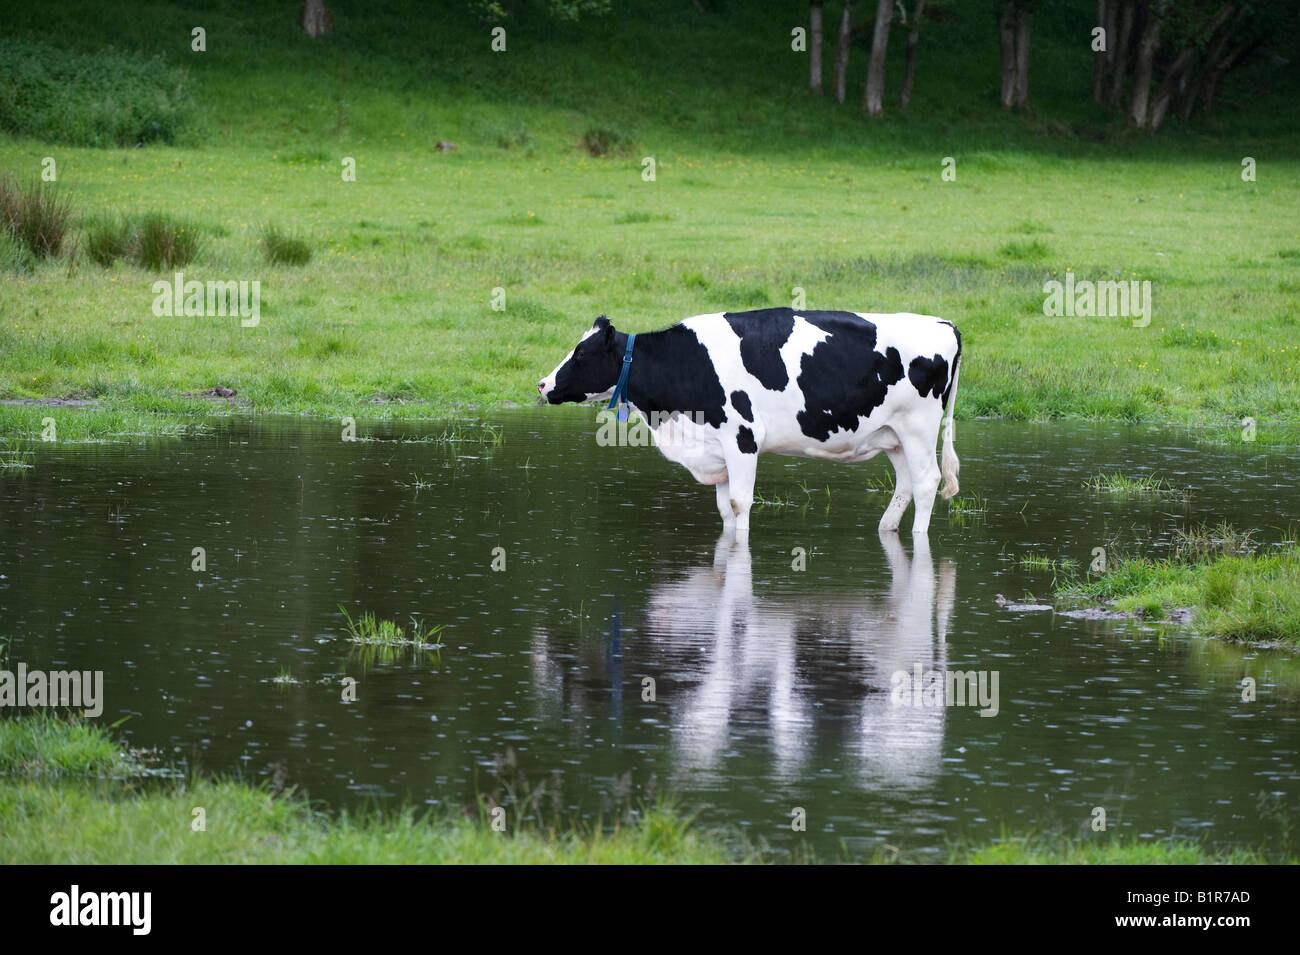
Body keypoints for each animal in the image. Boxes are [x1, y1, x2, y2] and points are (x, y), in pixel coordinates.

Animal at [538, 308, 961, 538]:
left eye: (581, 354)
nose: (542, 384)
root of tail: (944, 323)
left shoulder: (742, 438)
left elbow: (739, 504)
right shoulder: (717, 451)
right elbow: (724, 509)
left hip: (920, 429)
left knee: (927, 483)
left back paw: (918, 536)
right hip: (894, 435)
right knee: (905, 484)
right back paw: (886, 530)